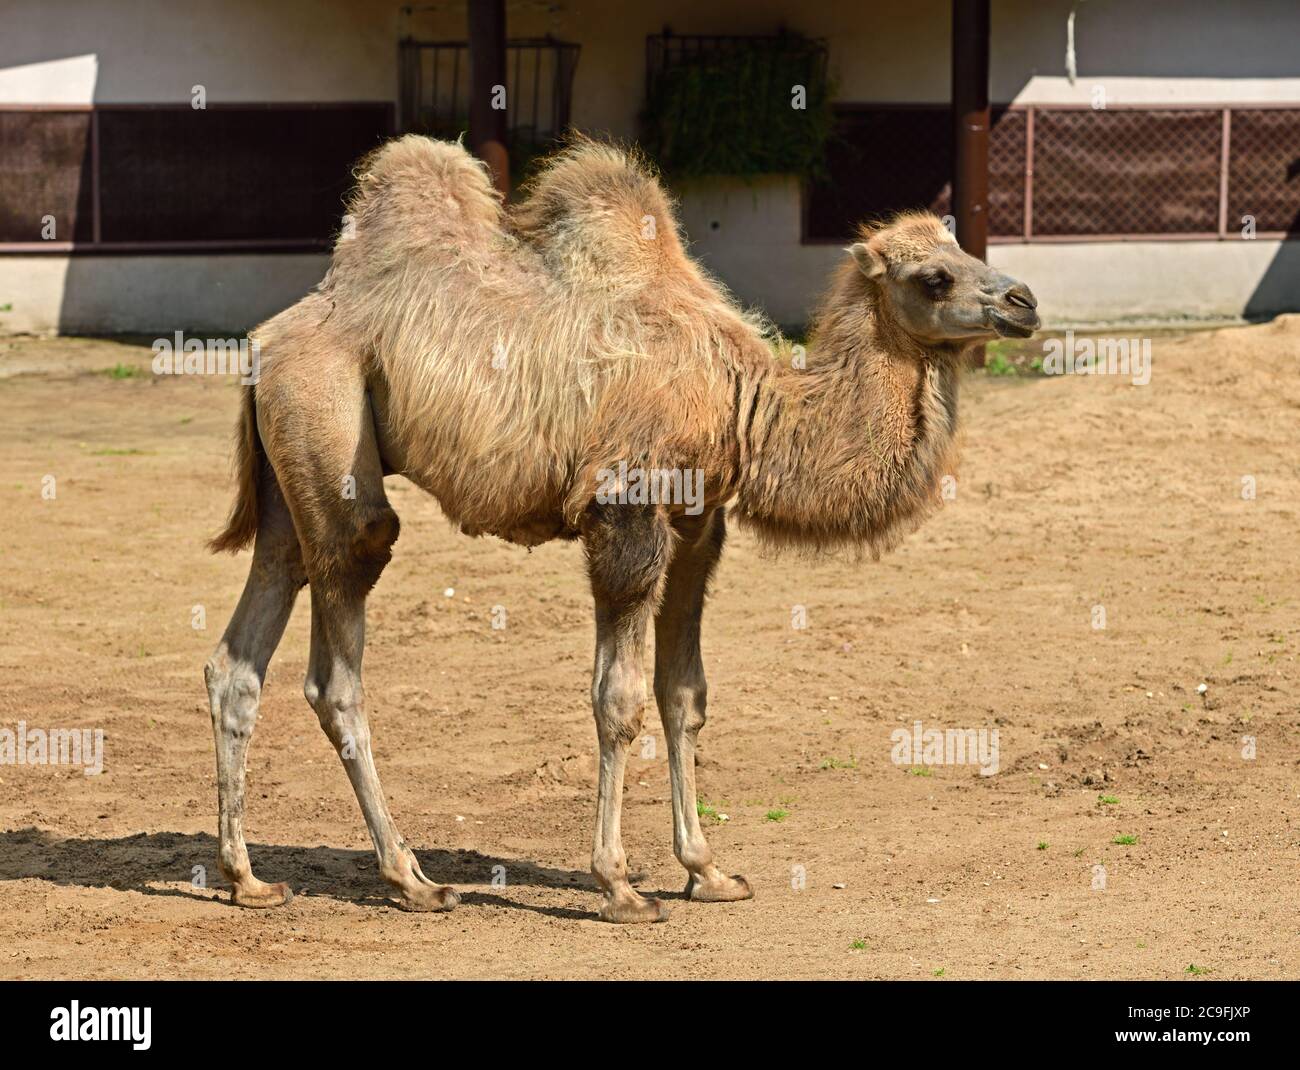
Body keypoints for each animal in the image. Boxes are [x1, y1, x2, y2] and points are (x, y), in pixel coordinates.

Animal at [203, 135, 1039, 923]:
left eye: (966, 249)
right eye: (933, 277)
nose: (1024, 300)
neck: (748, 402)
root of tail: (268, 339)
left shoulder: (699, 523)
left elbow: (684, 694)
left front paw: (708, 871)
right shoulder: (626, 508)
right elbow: (620, 700)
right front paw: (619, 886)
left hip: (288, 476)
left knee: (240, 655)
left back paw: (248, 880)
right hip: (329, 423)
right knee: (340, 648)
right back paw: (412, 879)